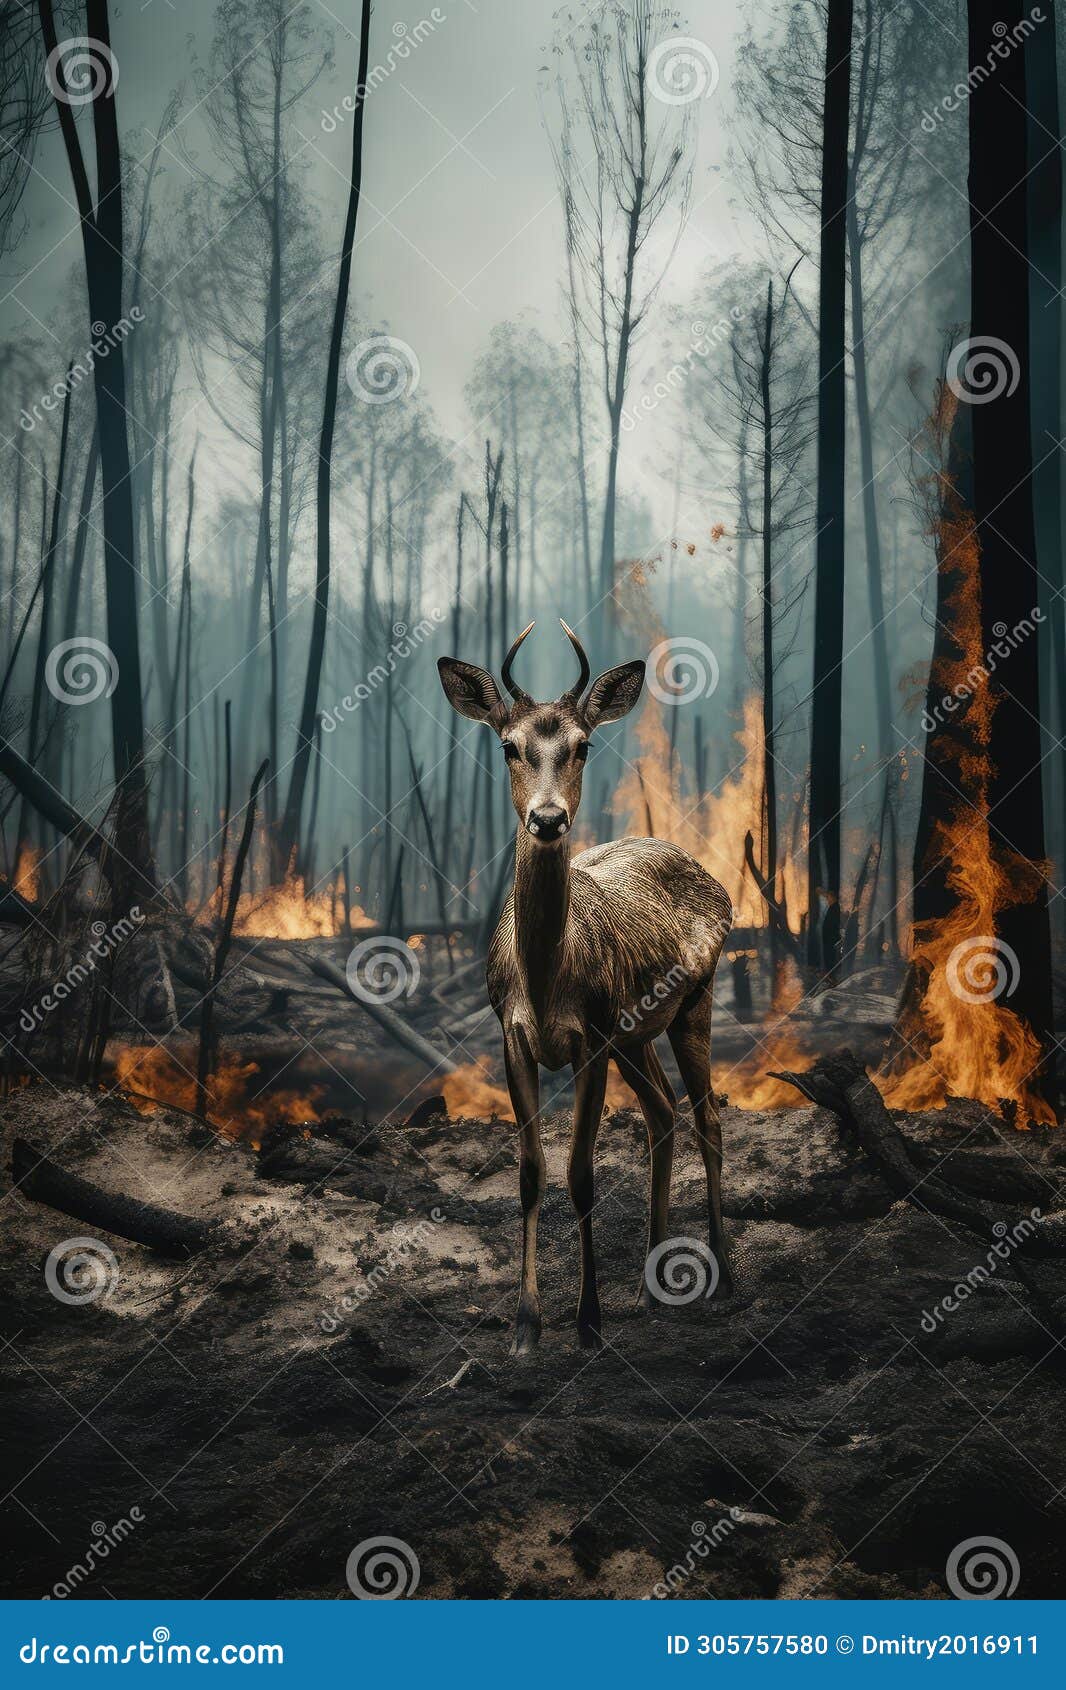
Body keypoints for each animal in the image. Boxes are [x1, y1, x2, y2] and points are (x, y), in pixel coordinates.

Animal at [438, 620, 733, 1354]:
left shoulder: (592, 1036)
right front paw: (525, 1326)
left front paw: (590, 1322)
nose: (547, 819)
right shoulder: (511, 1035)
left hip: (696, 1000)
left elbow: (579, 1174)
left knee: (709, 1116)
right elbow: (530, 1174)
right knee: (662, 1113)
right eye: (509, 745)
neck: (546, 982)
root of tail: (714, 881)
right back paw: (655, 1285)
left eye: (582, 744)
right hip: (637, 1034)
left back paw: (725, 1277)